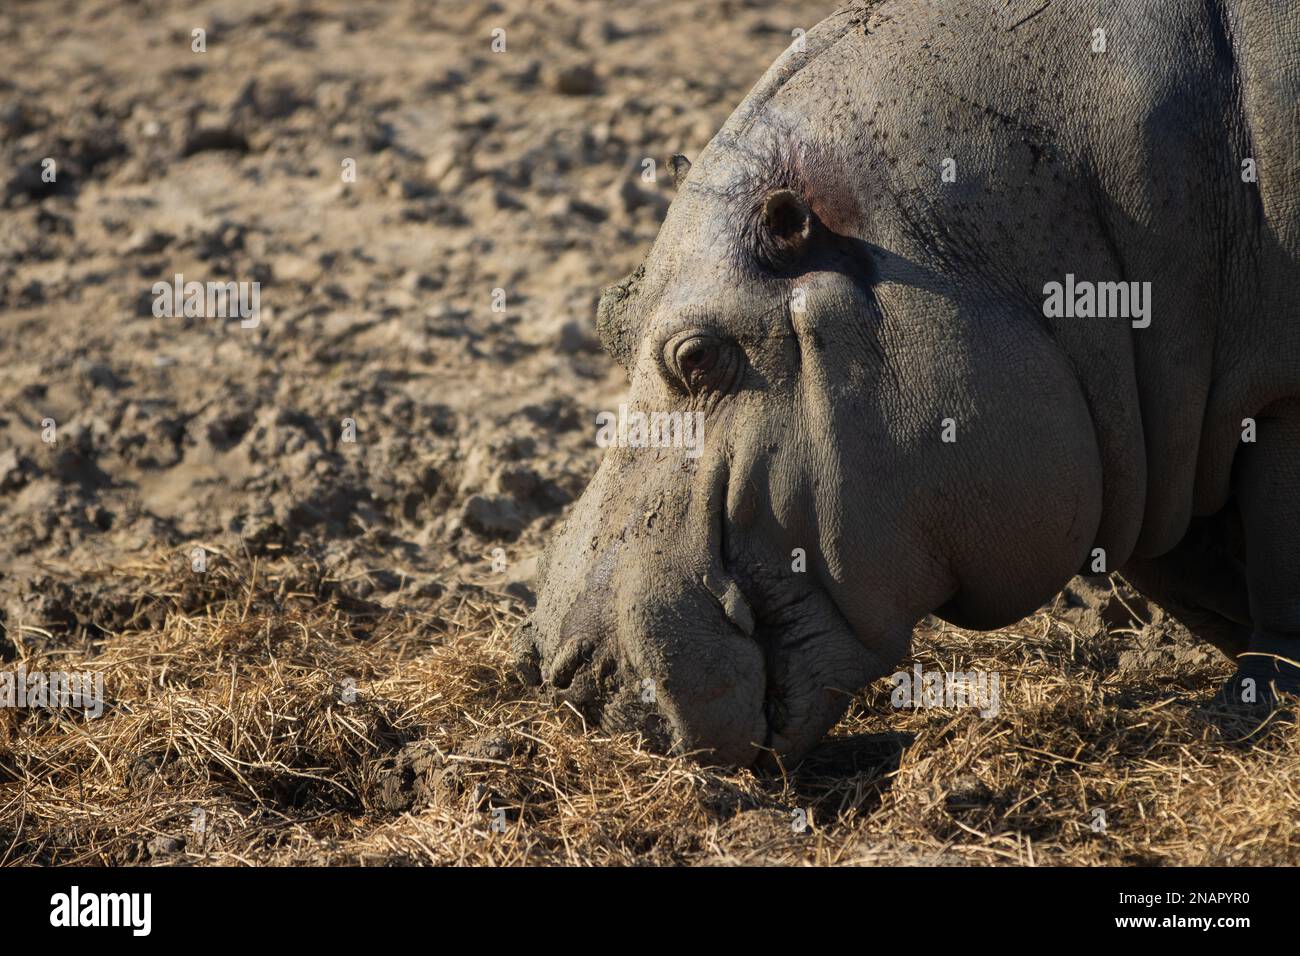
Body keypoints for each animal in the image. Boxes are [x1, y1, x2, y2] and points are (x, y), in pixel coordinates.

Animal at [516, 0, 1300, 768]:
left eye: (697, 357)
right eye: (607, 312)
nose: (562, 671)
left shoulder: (1274, 406)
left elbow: (1276, 564)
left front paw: (1237, 719)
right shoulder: (1153, 458)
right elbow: (1197, 579)